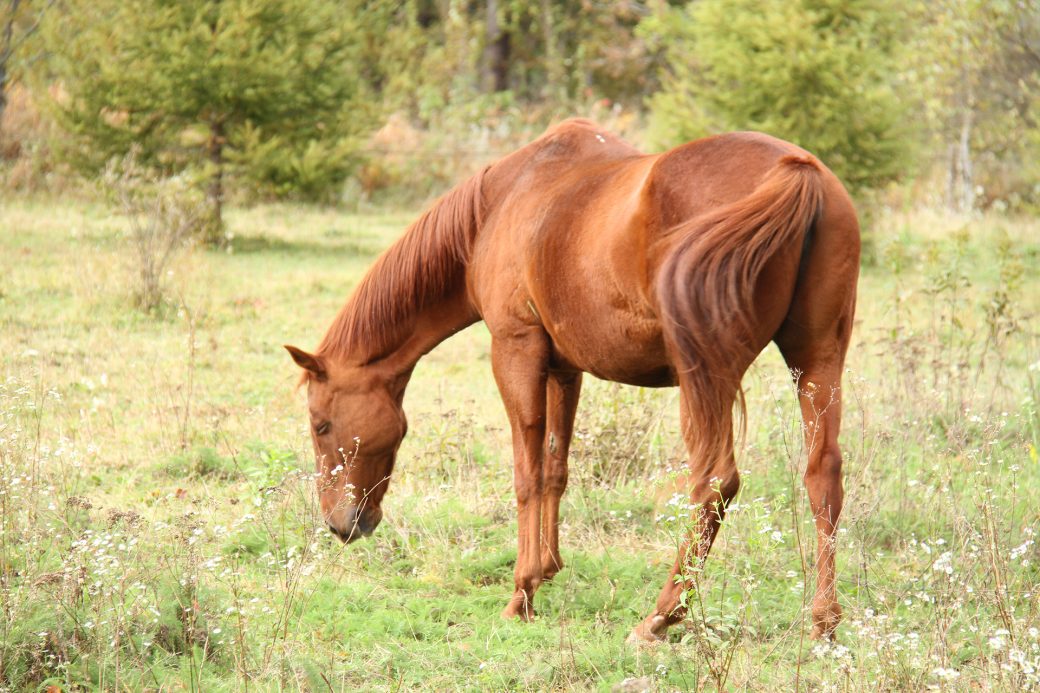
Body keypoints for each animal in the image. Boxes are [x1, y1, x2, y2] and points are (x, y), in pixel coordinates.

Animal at [285, 118, 860, 643]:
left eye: (320, 425)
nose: (339, 524)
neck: (501, 204)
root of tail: (796, 169)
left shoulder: (514, 349)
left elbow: (526, 473)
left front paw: (521, 594)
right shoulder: (565, 369)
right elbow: (555, 468)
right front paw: (548, 567)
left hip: (707, 381)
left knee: (714, 481)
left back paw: (660, 616)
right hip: (816, 360)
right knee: (823, 476)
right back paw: (824, 622)